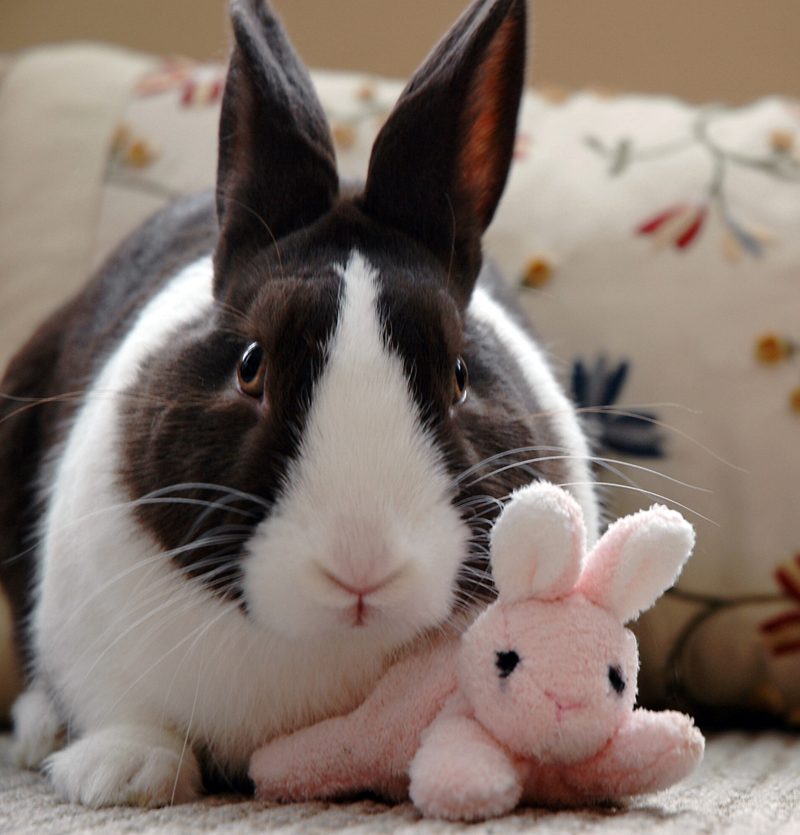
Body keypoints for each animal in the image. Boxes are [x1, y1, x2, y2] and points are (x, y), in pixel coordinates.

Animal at [0, 0, 599, 808]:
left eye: (460, 375)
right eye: (251, 366)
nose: (361, 565)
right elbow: (124, 710)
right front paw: (122, 775)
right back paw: (42, 733)